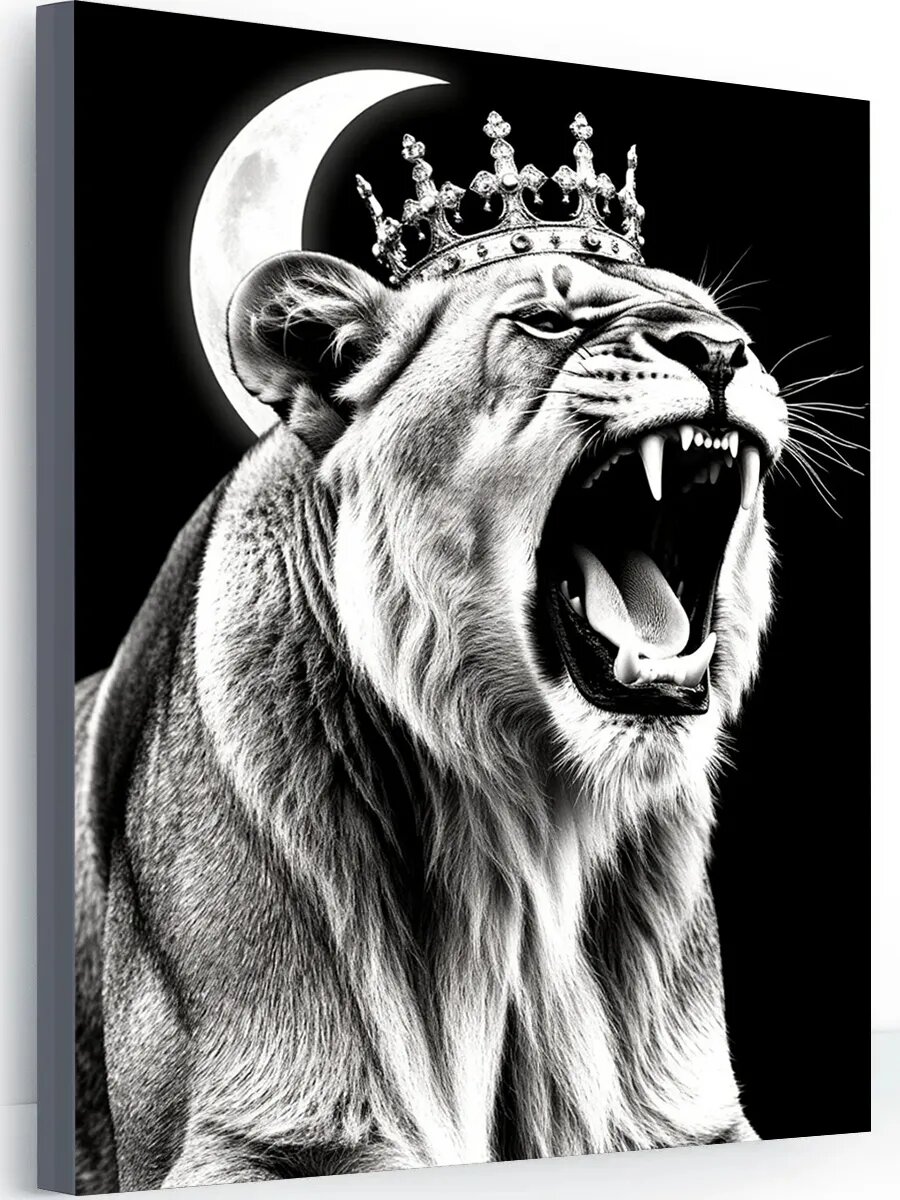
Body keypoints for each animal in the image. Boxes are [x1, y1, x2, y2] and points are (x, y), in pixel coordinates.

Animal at [74, 247, 786, 1192]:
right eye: (547, 320)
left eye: (727, 324)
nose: (717, 349)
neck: (532, 830)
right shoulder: (252, 1138)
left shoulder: (694, 1117)